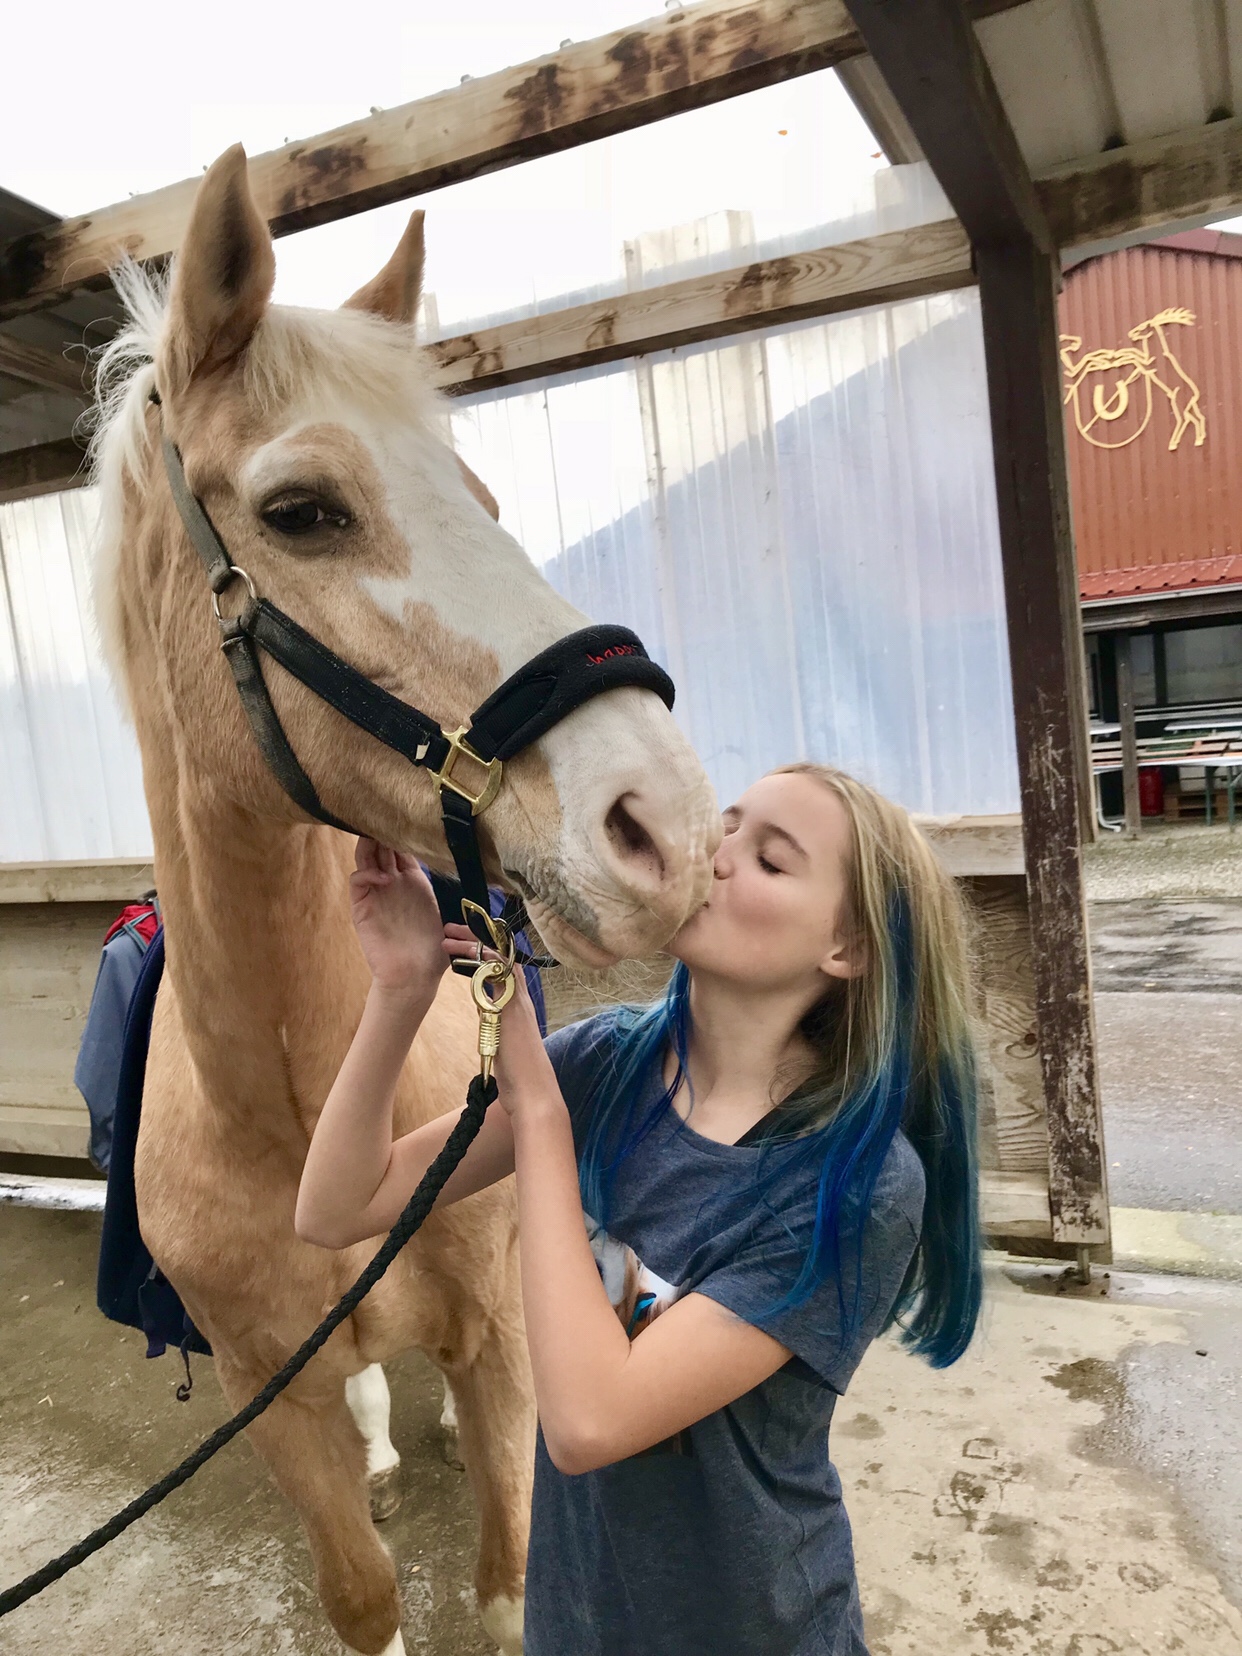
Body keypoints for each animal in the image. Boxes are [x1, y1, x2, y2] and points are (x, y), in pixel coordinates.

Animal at [88, 144, 718, 1656]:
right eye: (303, 510)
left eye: (482, 501)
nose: (665, 823)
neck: (295, 1102)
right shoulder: (272, 1404)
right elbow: (362, 1594)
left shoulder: (497, 1350)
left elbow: (504, 1583)